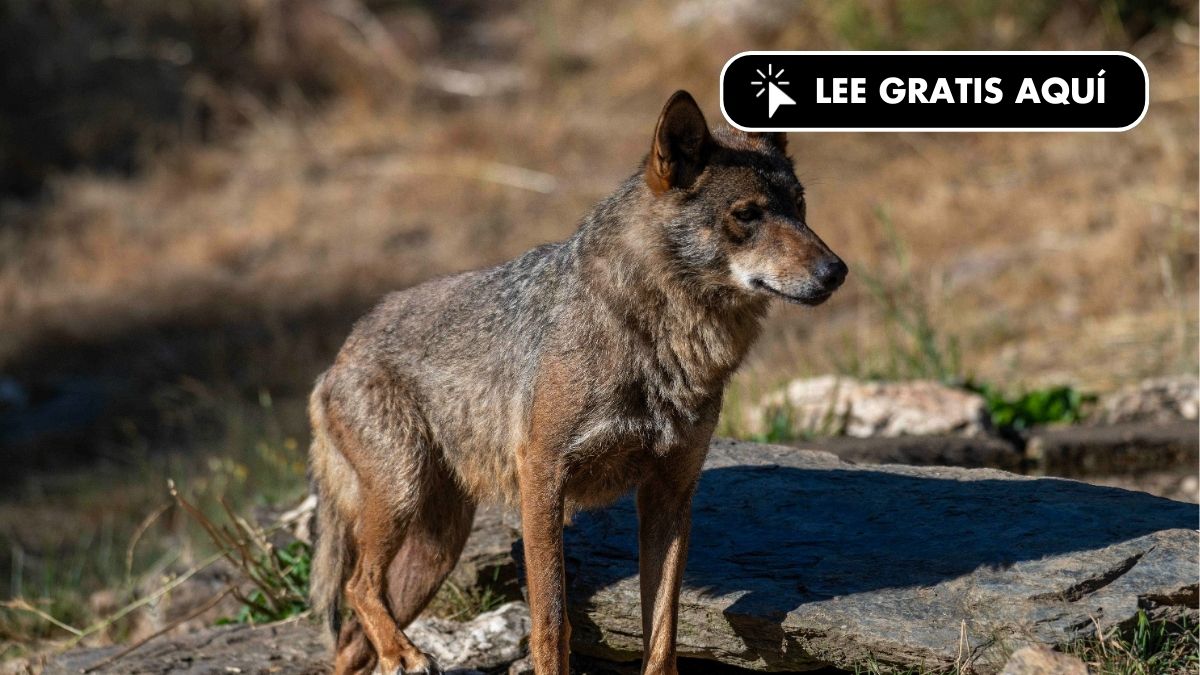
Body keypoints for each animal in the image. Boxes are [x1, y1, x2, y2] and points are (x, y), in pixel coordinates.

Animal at [307, 90, 846, 675]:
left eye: (800, 206)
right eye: (747, 214)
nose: (837, 271)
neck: (654, 338)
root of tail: (340, 355)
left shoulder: (670, 494)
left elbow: (663, 632)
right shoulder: (543, 479)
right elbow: (550, 621)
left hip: (435, 551)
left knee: (351, 635)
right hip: (403, 496)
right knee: (358, 588)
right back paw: (405, 654)